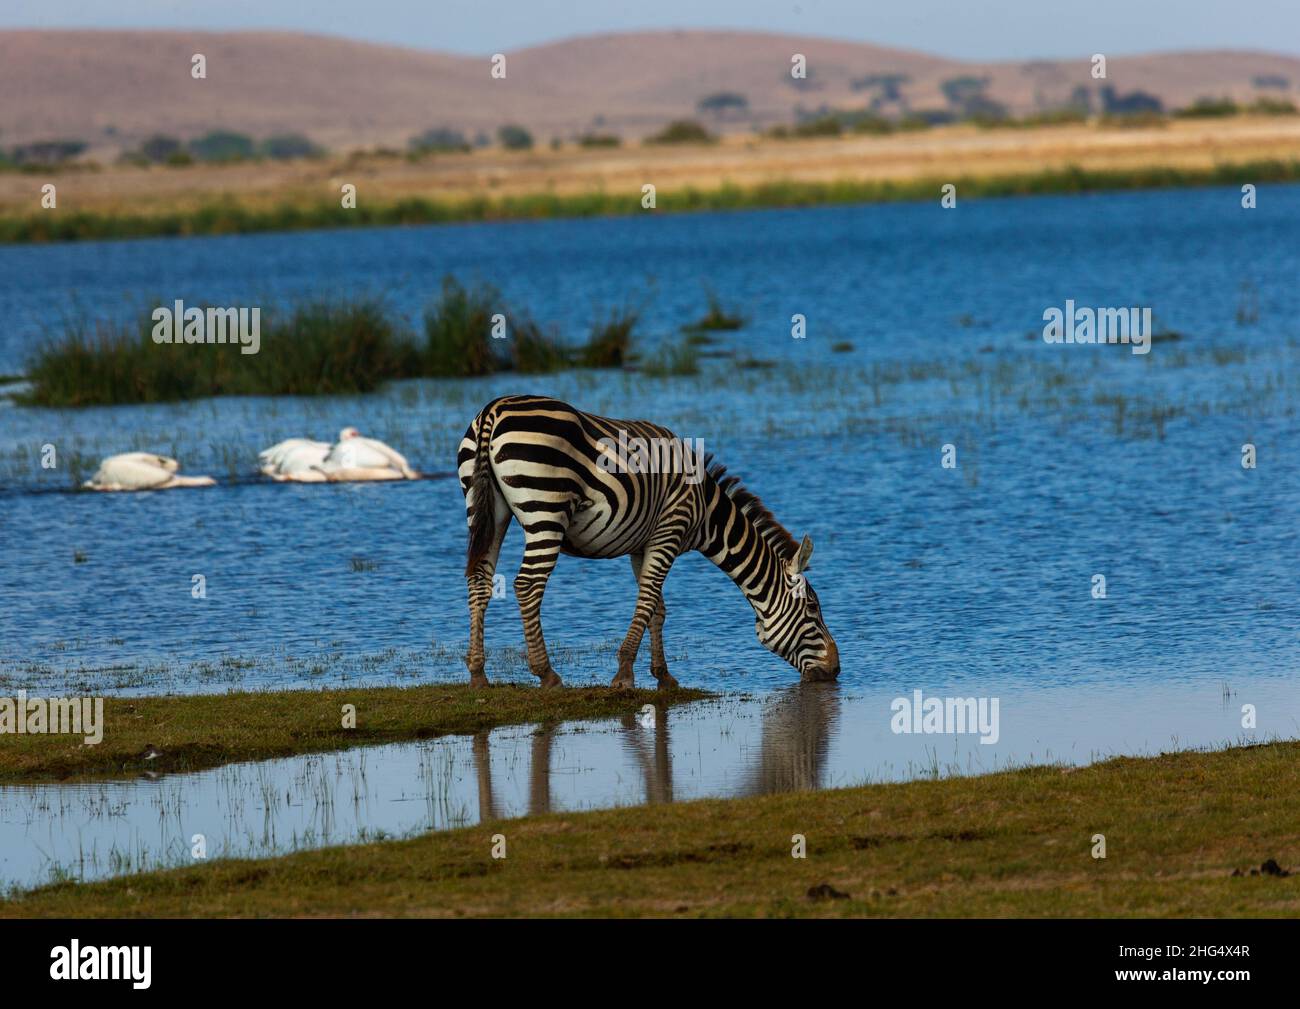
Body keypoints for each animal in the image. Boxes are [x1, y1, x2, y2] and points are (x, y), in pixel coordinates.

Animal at [458, 395, 839, 689]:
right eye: (812, 608)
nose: (836, 670)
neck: (706, 512)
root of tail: (493, 410)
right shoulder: (669, 530)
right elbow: (646, 602)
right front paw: (624, 674)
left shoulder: (643, 544)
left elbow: (658, 607)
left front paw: (663, 675)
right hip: (546, 510)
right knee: (527, 585)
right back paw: (547, 675)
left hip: (488, 510)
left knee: (480, 581)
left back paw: (478, 675)